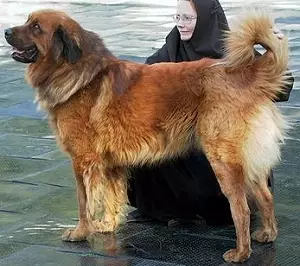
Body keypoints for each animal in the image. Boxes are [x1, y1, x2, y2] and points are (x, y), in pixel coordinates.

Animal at [4, 7, 290, 262]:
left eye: (36, 27)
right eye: (28, 21)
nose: (5, 31)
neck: (75, 71)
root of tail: (246, 73)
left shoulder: (82, 161)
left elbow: (84, 201)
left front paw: (80, 233)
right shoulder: (110, 165)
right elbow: (110, 198)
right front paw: (106, 226)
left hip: (223, 159)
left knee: (241, 207)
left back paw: (241, 253)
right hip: (247, 163)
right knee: (265, 196)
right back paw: (267, 234)